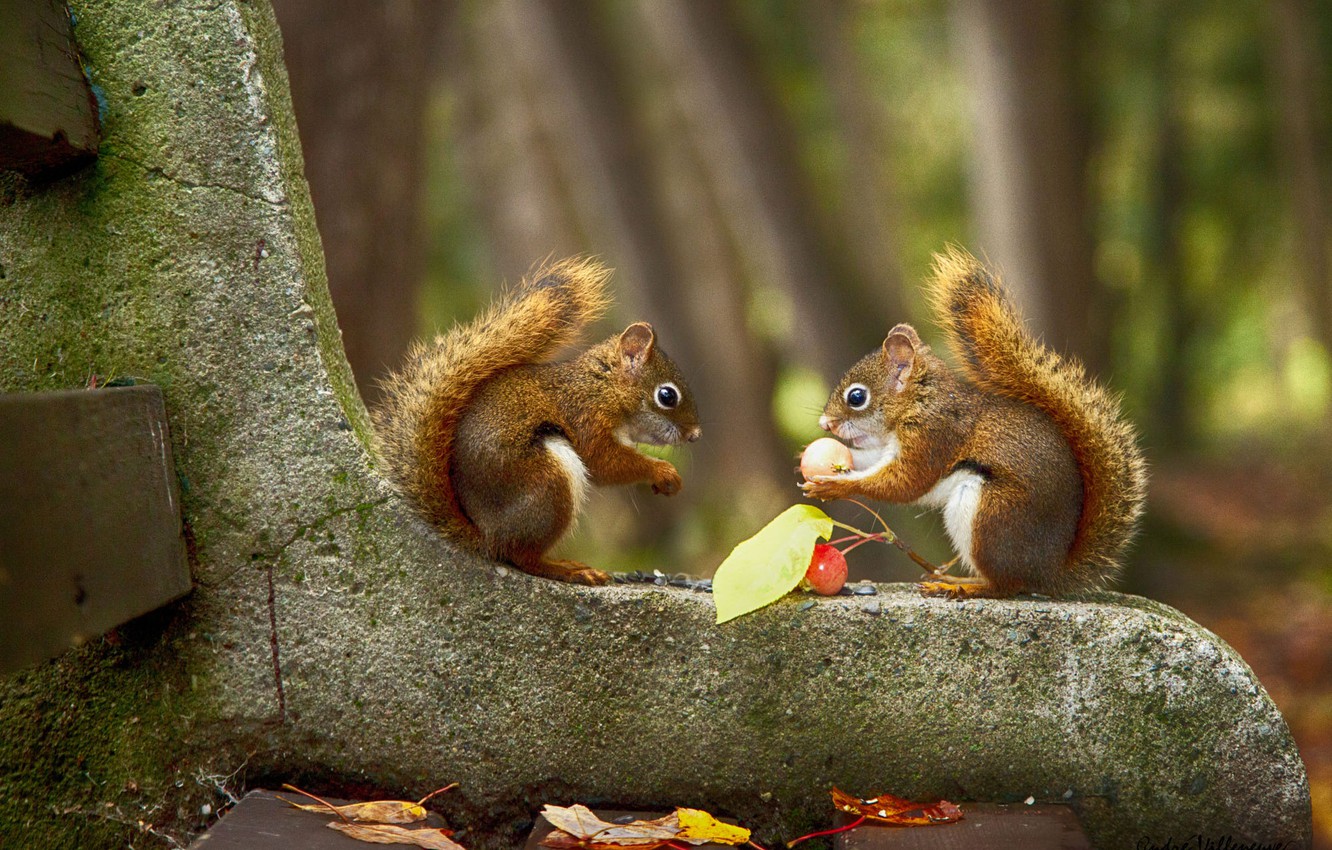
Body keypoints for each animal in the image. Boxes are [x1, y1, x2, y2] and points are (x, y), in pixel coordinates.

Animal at [373, 258, 701, 586]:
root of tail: (487, 537)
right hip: (548, 482)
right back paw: (568, 569)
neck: (603, 387)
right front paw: (662, 471)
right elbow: (605, 463)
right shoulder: (587, 418)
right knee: (522, 556)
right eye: (667, 396)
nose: (695, 435)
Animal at [802, 248, 1147, 598]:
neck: (919, 402)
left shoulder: (933, 436)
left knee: (1005, 586)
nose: (825, 423)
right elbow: (870, 459)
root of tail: (1048, 573)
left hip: (990, 514)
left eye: (856, 397)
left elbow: (904, 483)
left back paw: (960, 586)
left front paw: (835, 486)